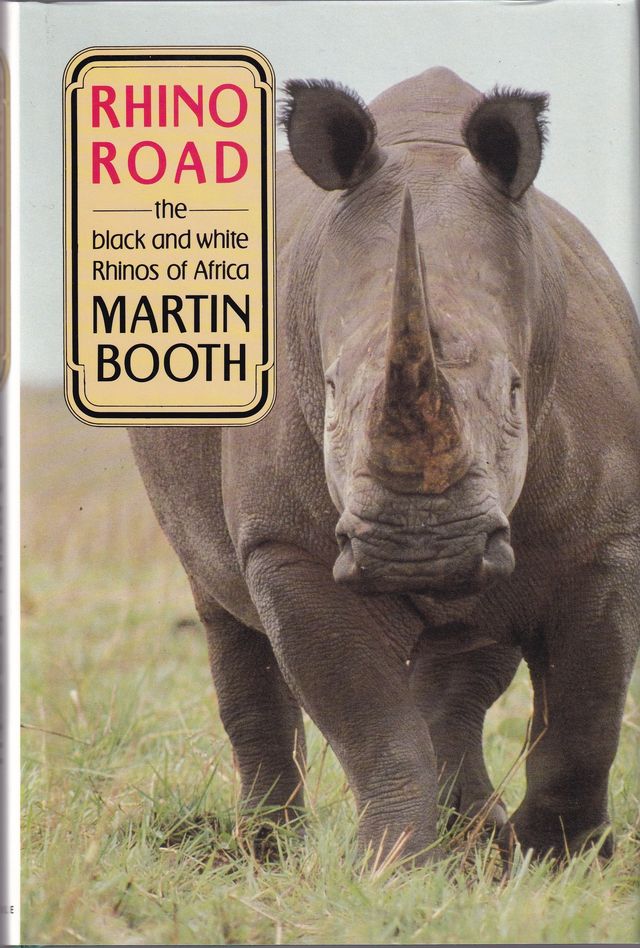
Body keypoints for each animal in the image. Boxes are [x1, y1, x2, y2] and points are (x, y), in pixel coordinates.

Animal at [130, 68, 640, 865]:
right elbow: (372, 727)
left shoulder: (607, 538)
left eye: (514, 392)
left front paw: (565, 861)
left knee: (467, 656)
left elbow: (586, 714)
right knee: (223, 614)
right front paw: (392, 867)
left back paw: (482, 842)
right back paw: (268, 850)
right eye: (332, 389)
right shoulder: (287, 547)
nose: (419, 550)